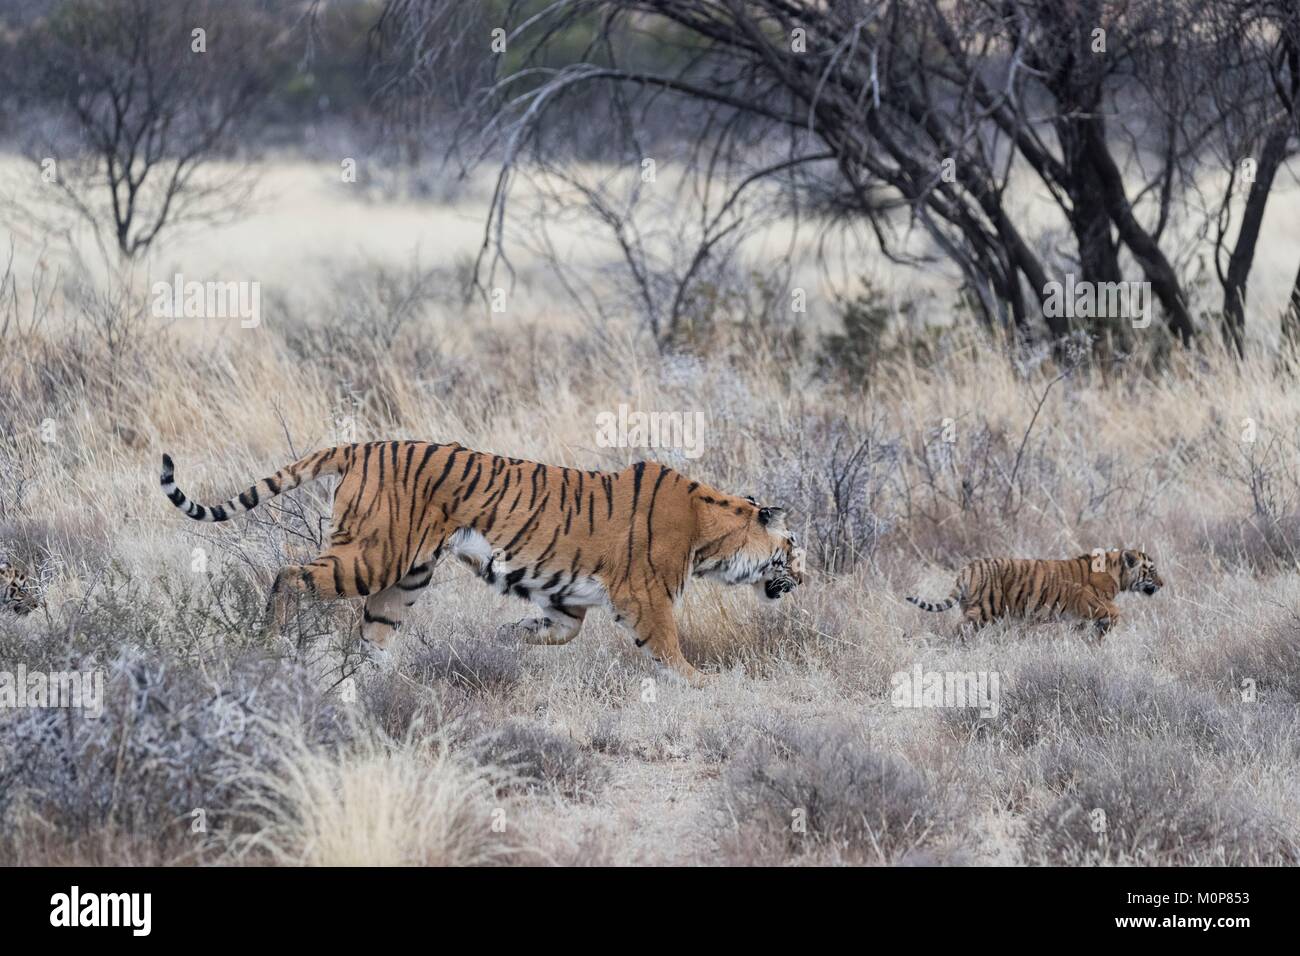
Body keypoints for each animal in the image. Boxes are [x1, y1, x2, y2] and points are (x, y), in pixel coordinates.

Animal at [159, 442, 803, 686]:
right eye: (794, 546)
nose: (803, 578)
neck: (708, 532)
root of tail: (362, 444)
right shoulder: (645, 597)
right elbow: (669, 646)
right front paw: (703, 683)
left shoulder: (566, 598)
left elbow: (562, 632)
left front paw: (509, 635)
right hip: (372, 556)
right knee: (289, 576)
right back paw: (267, 647)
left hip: (407, 576)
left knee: (371, 635)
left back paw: (384, 687)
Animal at [906, 549, 1163, 635]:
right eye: (1152, 570)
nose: (1163, 584)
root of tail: (968, 568)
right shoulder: (1089, 600)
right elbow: (1115, 611)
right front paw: (1104, 630)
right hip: (985, 610)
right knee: (959, 629)